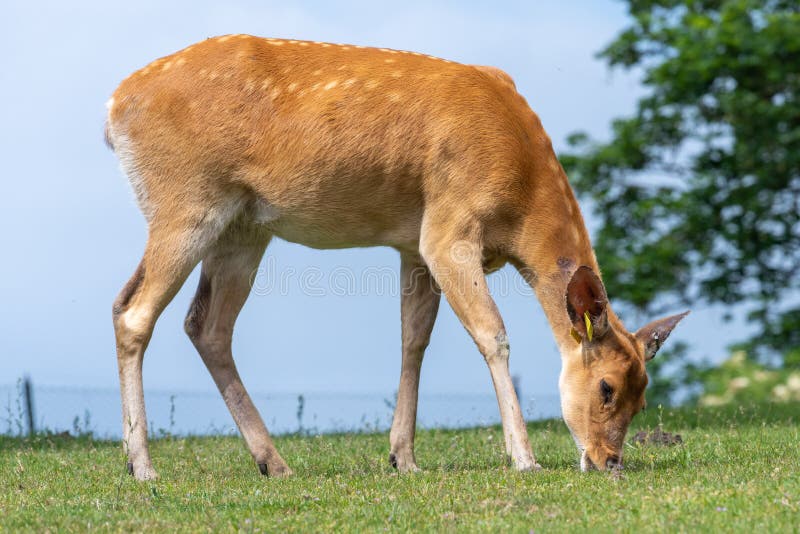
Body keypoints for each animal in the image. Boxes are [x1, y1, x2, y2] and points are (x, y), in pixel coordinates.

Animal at [106, 34, 687, 481]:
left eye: (643, 394)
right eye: (607, 387)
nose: (609, 461)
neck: (519, 206)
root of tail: (114, 109)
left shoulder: (414, 246)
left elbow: (414, 340)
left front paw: (402, 458)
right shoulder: (448, 227)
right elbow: (492, 333)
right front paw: (524, 458)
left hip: (244, 227)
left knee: (205, 325)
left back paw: (275, 463)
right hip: (186, 200)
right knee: (133, 310)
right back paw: (143, 466)